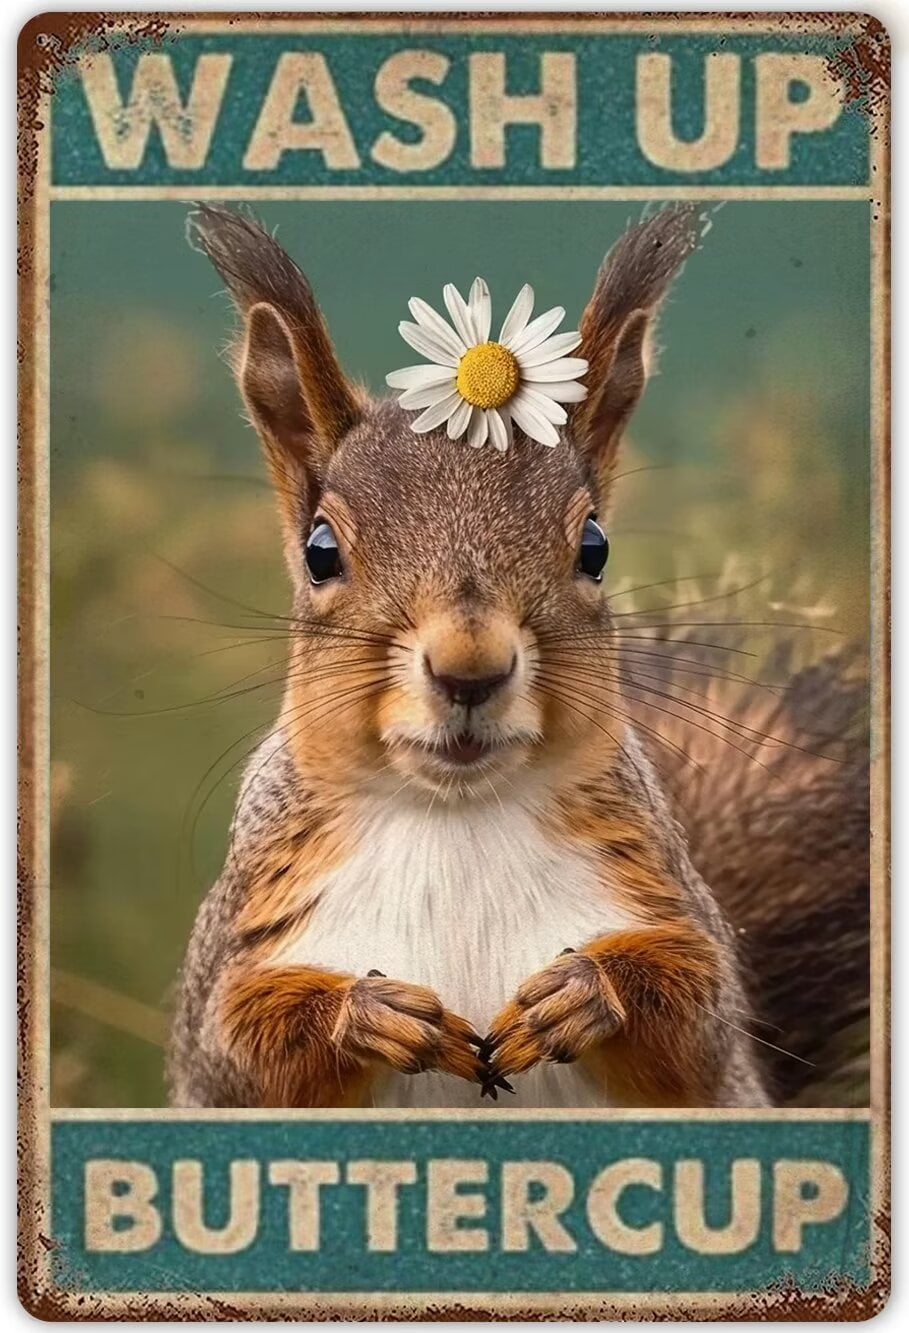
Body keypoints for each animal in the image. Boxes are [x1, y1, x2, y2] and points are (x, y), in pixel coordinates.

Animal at [168, 203, 869, 1110]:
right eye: (321, 551)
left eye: (594, 547)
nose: (469, 668)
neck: (456, 815)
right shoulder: (241, 944)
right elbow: (236, 1045)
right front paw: (367, 1012)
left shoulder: (666, 905)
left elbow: (701, 1022)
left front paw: (586, 991)